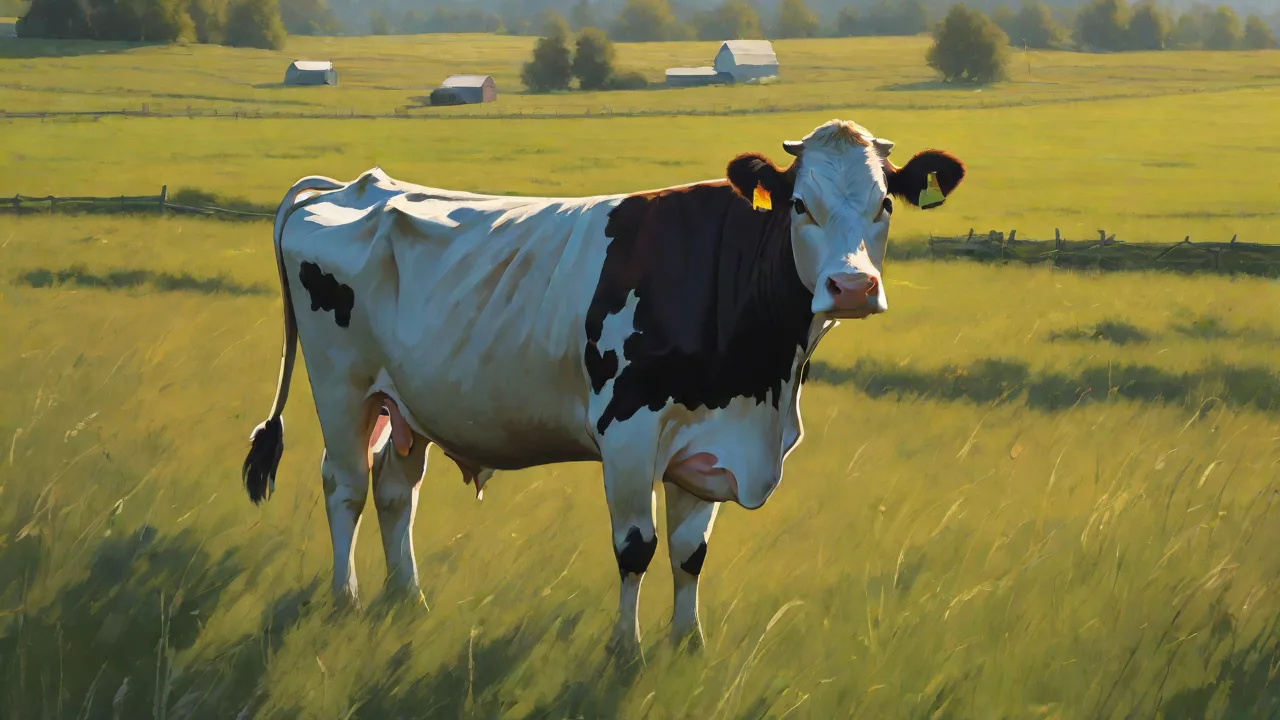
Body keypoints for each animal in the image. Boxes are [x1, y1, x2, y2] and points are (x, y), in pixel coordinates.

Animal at [240, 119, 966, 658]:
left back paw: (407, 598)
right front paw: (626, 650)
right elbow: (636, 547)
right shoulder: (629, 432)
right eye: (798, 205)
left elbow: (690, 554)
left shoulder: (707, 444)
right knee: (345, 486)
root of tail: (354, 185)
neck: (763, 387)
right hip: (342, 387)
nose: (853, 287)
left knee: (395, 491)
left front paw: (688, 642)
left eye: (885, 204)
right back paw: (347, 597)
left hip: (407, 402)